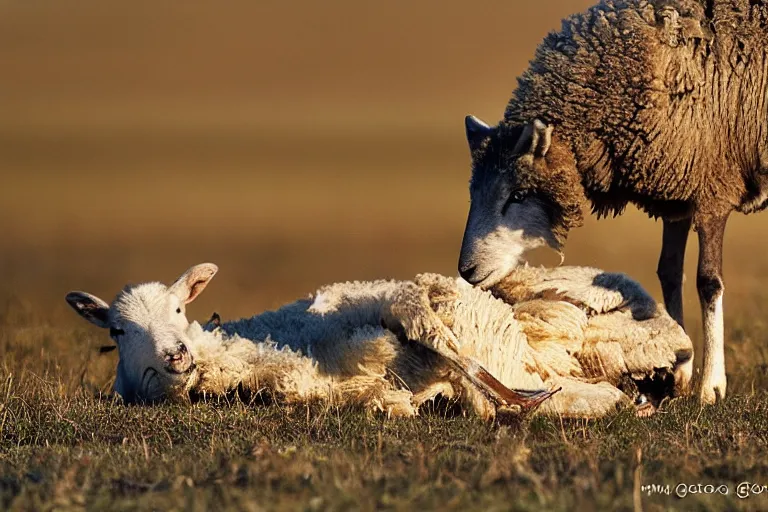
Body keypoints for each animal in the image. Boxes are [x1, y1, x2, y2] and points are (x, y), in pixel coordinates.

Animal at [457, 0, 768, 404]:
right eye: (473, 193)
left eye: (517, 195)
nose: (466, 270)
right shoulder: (677, 191)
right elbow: (670, 273)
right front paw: (679, 367)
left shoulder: (713, 185)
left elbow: (708, 282)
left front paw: (711, 387)